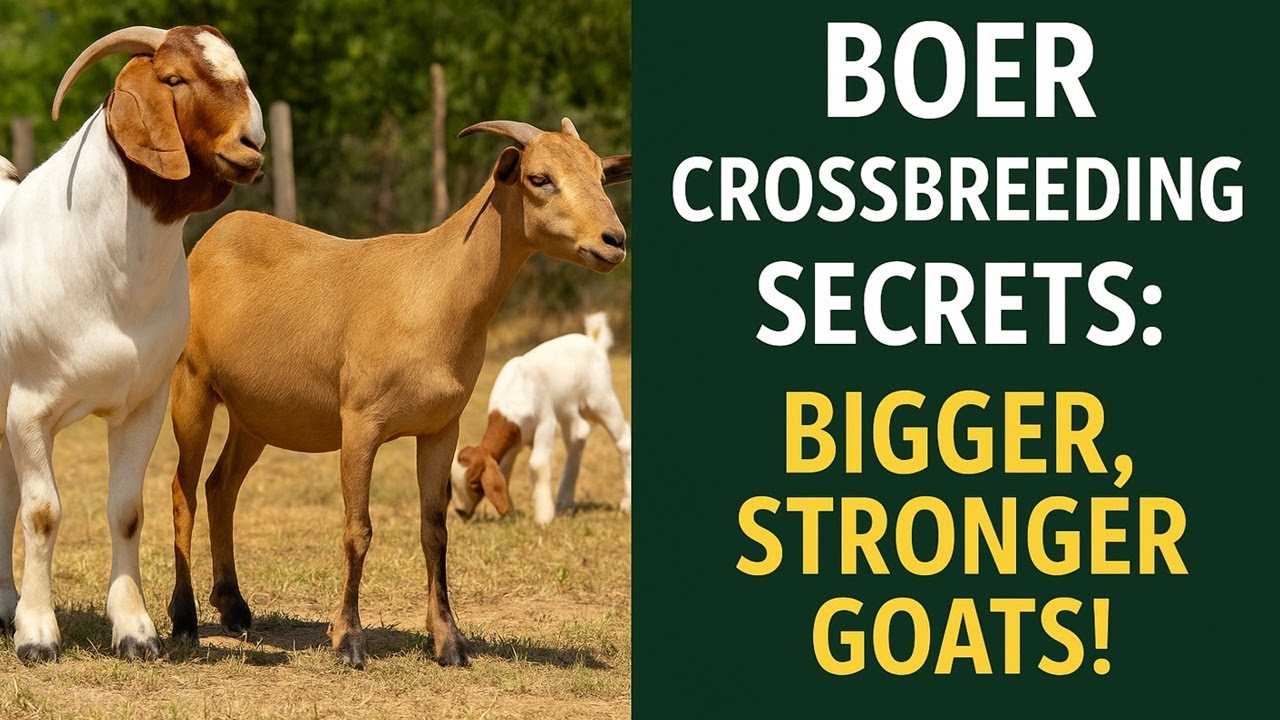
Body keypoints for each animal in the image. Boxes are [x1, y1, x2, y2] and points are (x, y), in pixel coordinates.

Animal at [0, 26, 264, 663]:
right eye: (174, 79)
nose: (252, 142)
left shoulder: (142, 405)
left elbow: (126, 512)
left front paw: (135, 629)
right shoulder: (29, 408)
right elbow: (41, 513)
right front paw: (37, 634)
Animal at [452, 312, 631, 525]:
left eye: (474, 483)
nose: (460, 512)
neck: (512, 396)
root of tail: (594, 342)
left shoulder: (545, 422)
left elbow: (538, 464)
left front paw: (544, 517)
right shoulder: (516, 438)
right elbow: (504, 469)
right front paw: (511, 513)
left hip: (601, 397)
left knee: (623, 440)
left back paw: (626, 504)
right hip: (568, 409)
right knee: (578, 436)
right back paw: (563, 502)